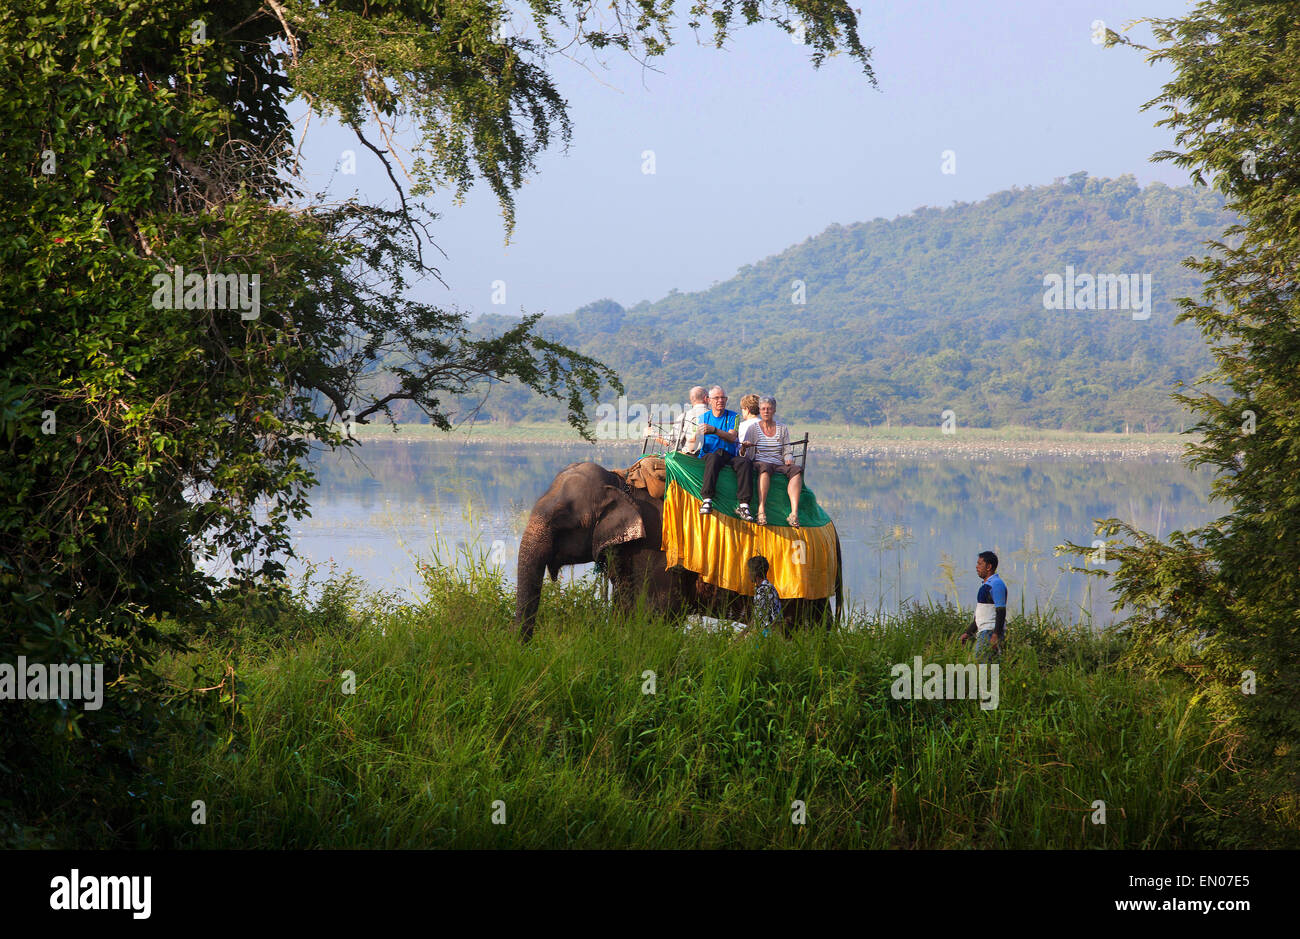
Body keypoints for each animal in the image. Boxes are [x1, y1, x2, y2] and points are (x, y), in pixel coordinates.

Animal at [514, 460, 843, 640]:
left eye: (562, 521)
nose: (525, 647)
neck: (619, 478)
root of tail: (830, 526)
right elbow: (624, 604)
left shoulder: (656, 546)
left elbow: (656, 610)